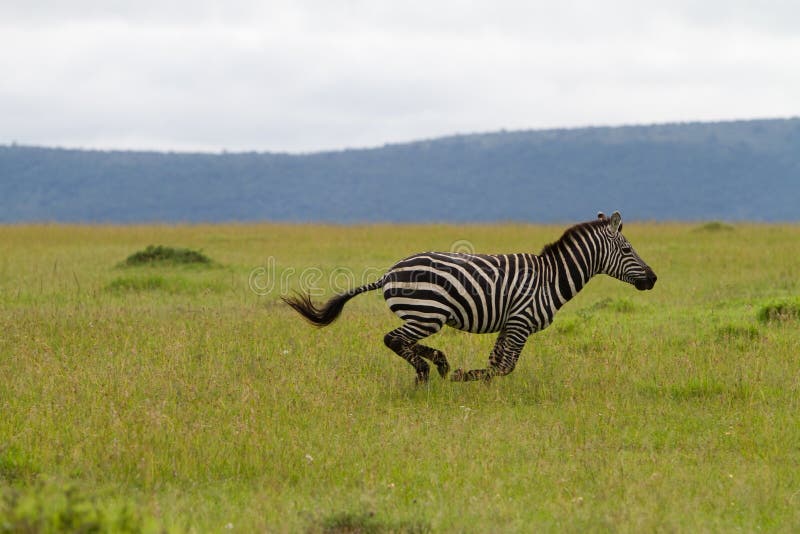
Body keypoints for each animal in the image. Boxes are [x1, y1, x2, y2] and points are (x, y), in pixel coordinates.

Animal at [283, 211, 657, 383]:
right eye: (627, 250)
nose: (653, 279)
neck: (551, 278)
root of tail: (388, 273)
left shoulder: (509, 324)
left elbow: (497, 362)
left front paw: (475, 382)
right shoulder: (520, 322)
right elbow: (505, 366)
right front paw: (466, 378)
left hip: (422, 317)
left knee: (404, 341)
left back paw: (438, 363)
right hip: (427, 314)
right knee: (393, 339)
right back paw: (427, 371)